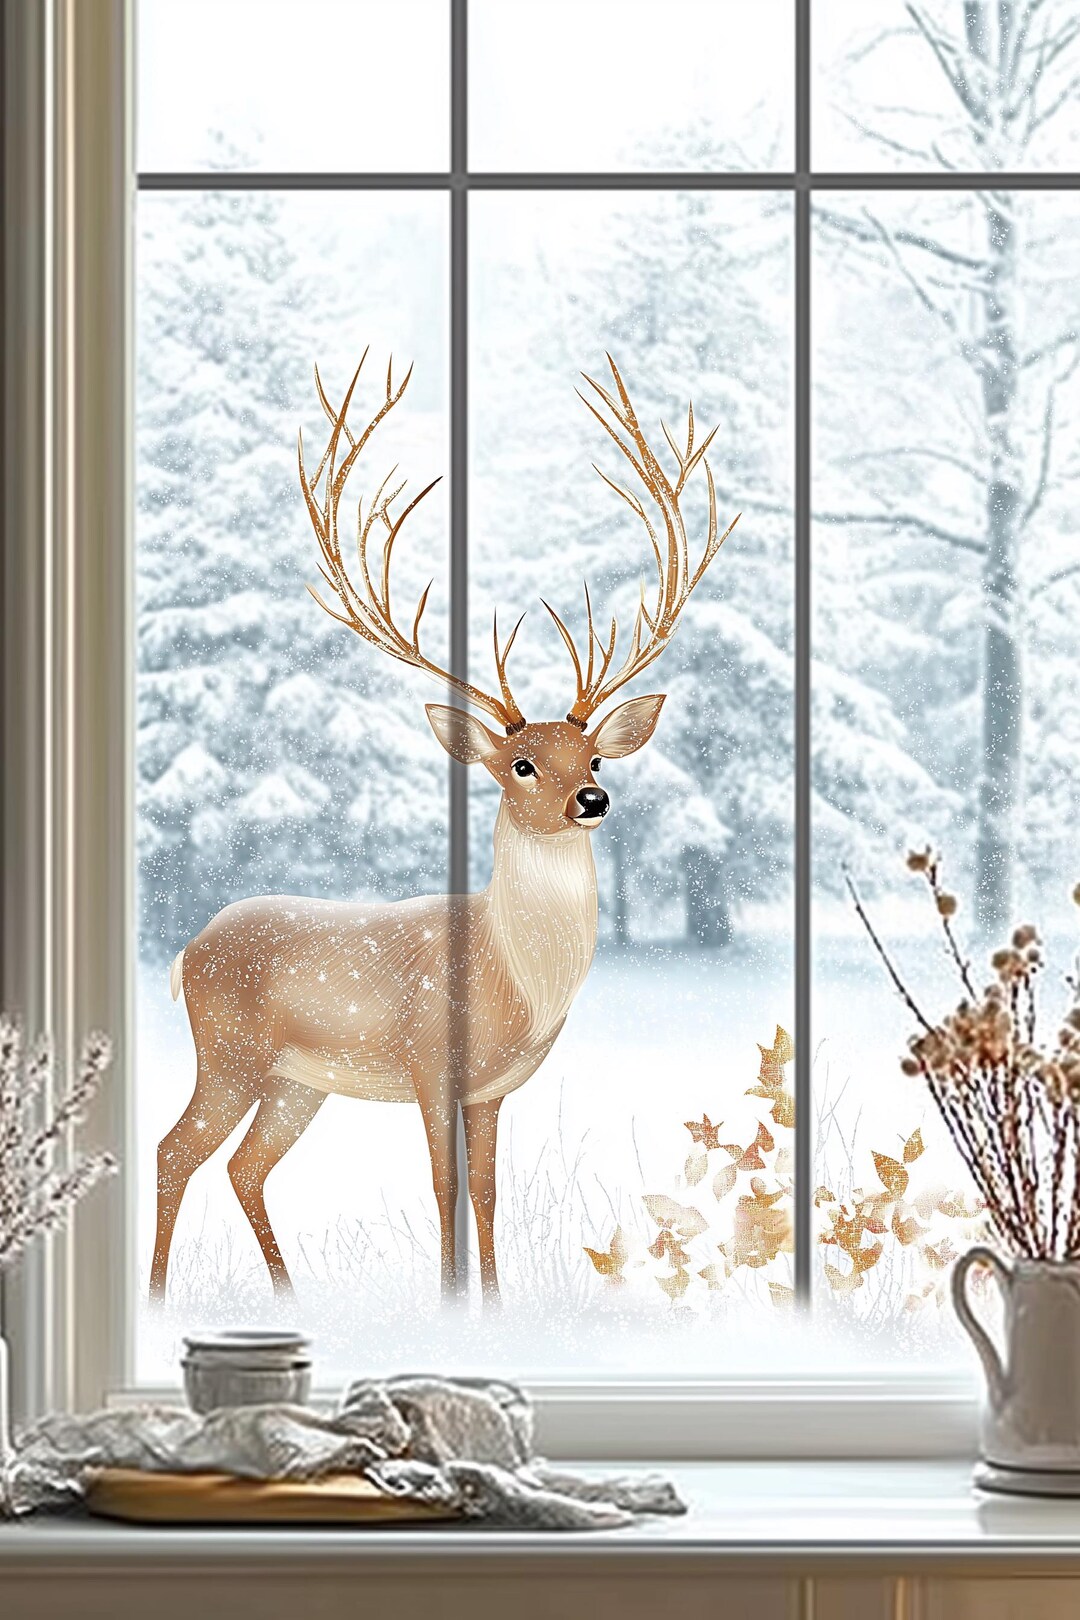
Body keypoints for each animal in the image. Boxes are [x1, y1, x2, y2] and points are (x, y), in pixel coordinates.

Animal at [149, 351, 737, 1307]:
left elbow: (489, 1190)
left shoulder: (491, 1090)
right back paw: (162, 1299)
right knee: (176, 1151)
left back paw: (286, 1295)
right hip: (230, 1051)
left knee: (243, 1166)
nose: (592, 801)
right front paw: (452, 1308)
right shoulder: (432, 1062)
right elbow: (442, 1187)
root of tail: (186, 952)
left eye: (595, 757)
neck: (514, 977)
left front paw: (492, 1307)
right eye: (521, 764)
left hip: (295, 1083)